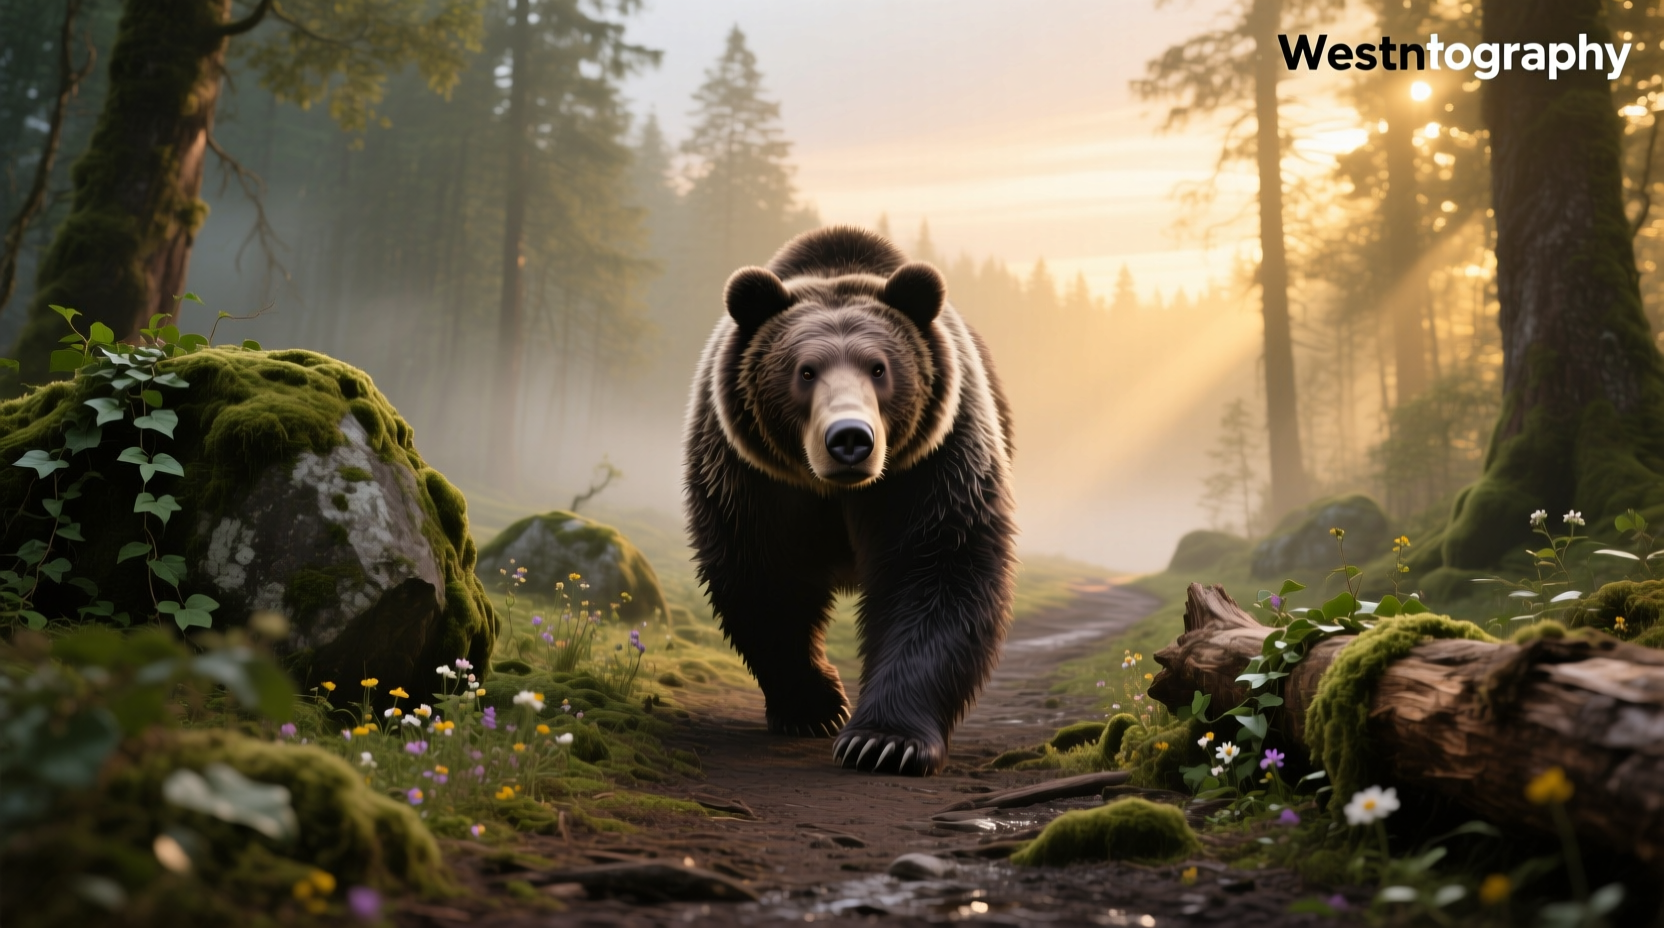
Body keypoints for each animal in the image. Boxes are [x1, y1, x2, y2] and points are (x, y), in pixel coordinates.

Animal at [683, 225, 1016, 776]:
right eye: (805, 371)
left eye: (879, 368)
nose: (850, 438)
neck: (836, 489)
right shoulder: (753, 479)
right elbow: (764, 577)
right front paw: (815, 706)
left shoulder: (930, 467)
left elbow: (939, 571)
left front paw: (883, 743)